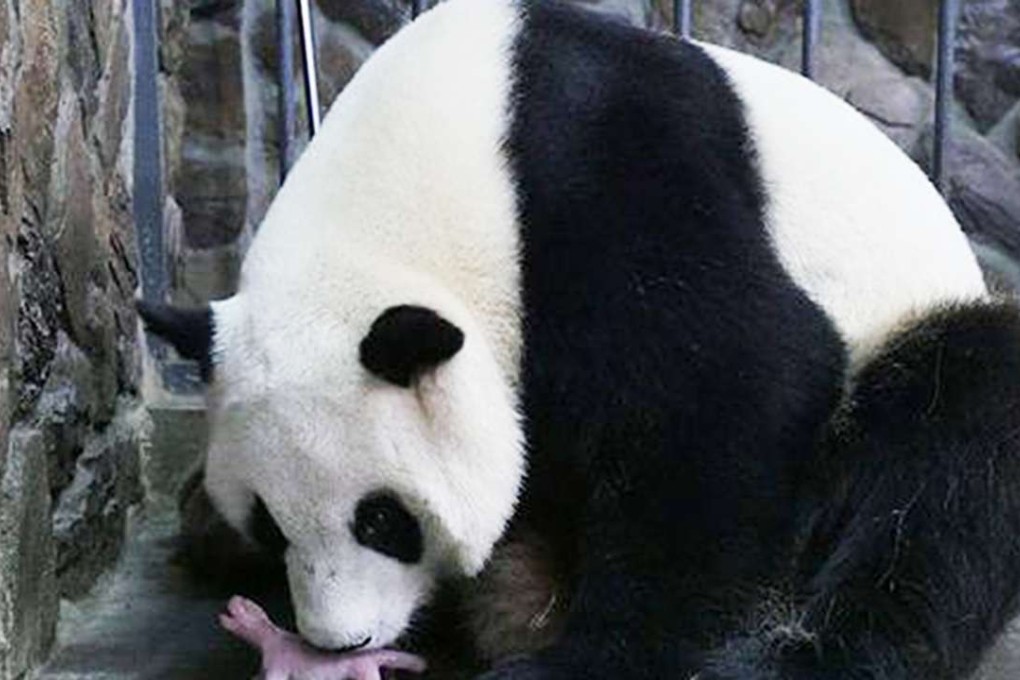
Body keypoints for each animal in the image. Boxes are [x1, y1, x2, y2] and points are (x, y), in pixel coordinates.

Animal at [139, 0, 1020, 677]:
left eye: (383, 521)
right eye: (269, 522)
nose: (341, 640)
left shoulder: (601, 175)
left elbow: (736, 387)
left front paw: (587, 657)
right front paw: (220, 531)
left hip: (909, 325)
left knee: (949, 463)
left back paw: (812, 652)